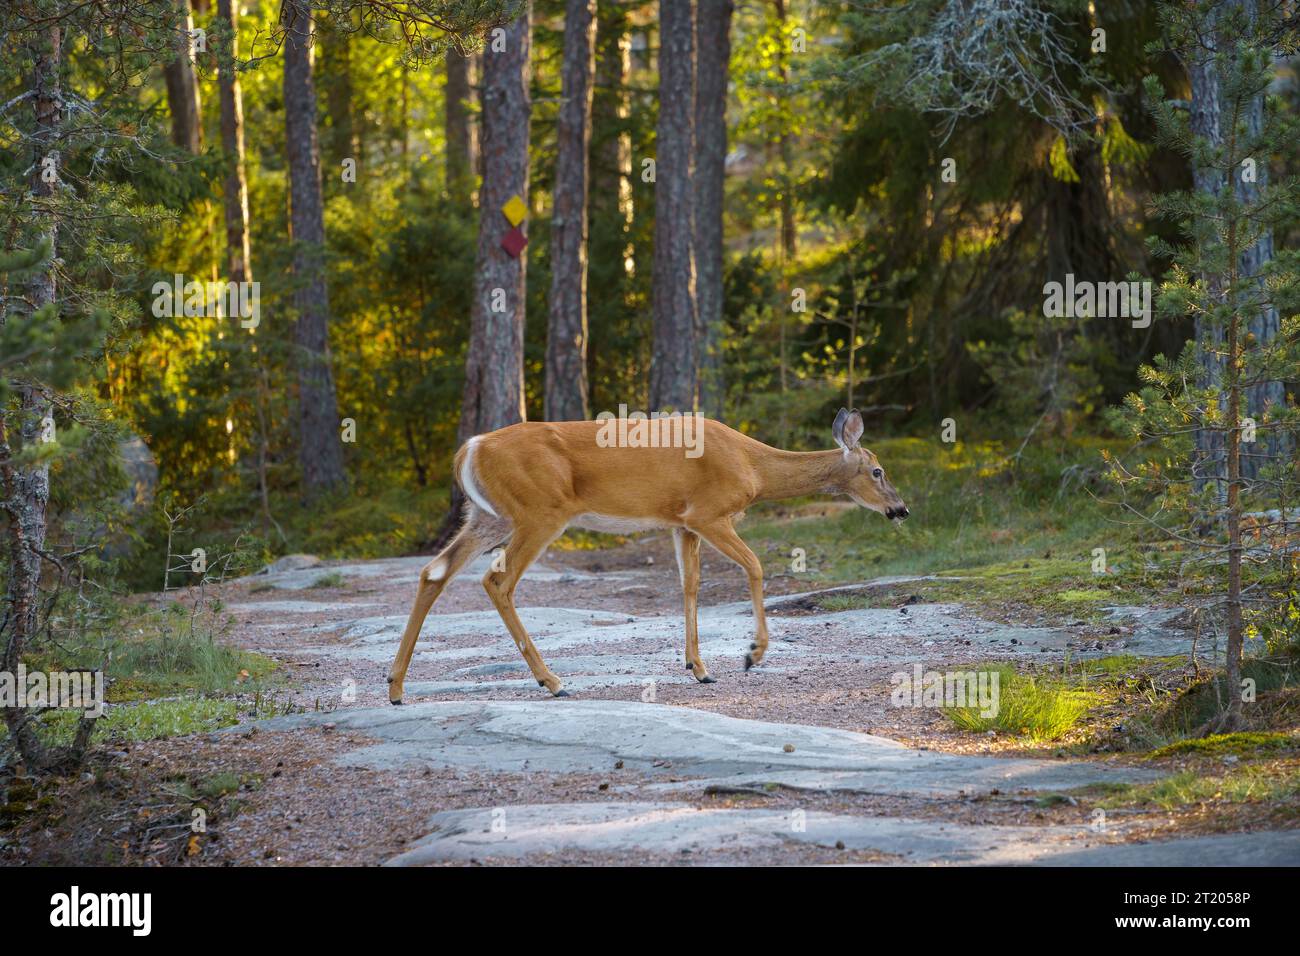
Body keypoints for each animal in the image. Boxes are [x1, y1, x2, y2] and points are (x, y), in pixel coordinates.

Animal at [386, 407, 908, 703]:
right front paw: (751, 654)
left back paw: (395, 689)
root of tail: (469, 450)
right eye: (878, 471)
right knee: (497, 581)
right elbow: (756, 566)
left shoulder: (681, 523)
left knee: (433, 572)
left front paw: (699, 669)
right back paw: (552, 681)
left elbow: (689, 585)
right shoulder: (709, 513)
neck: (754, 467)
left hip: (487, 515)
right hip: (539, 512)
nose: (900, 509)